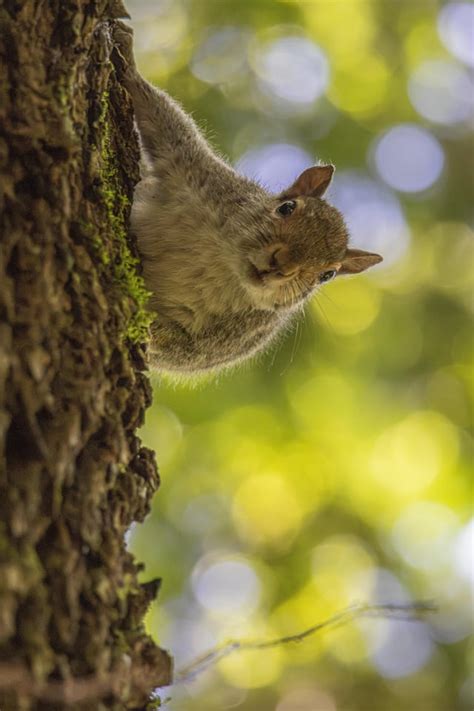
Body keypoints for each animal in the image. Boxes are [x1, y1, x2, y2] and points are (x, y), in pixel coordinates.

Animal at [111, 22, 382, 376]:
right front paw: (128, 63)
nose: (282, 266)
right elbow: (169, 127)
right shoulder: (201, 176)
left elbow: (181, 352)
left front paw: (145, 323)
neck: (224, 262)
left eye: (327, 275)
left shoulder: (236, 336)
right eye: (286, 207)